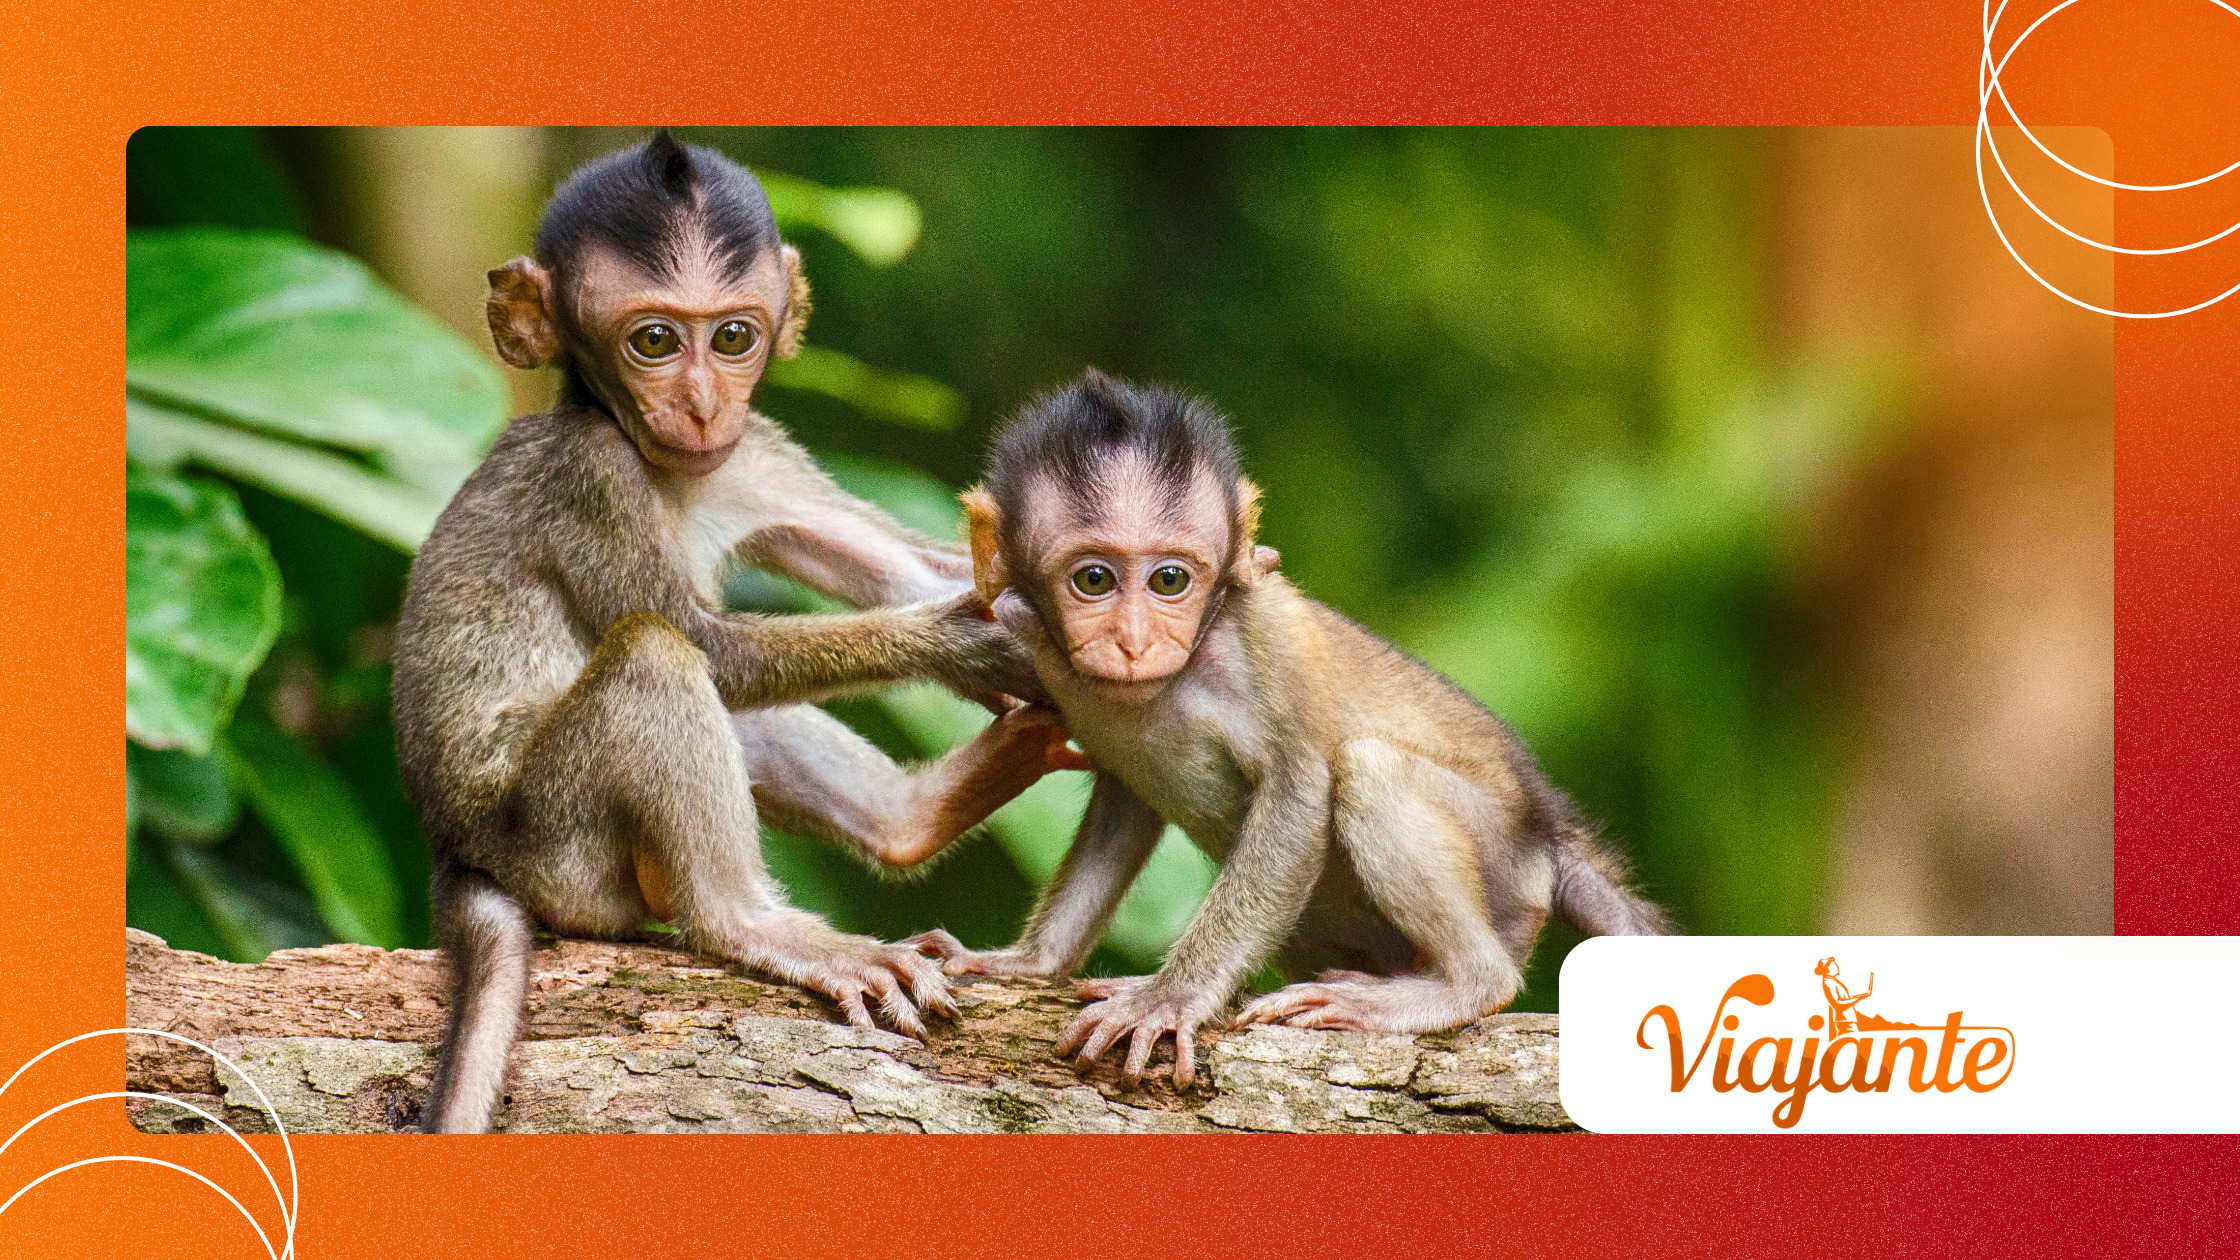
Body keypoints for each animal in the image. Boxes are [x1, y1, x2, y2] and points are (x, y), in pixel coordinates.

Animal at [393, 132, 1082, 1133]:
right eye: (652, 341)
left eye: (731, 337)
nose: (700, 403)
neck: (667, 468)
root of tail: (461, 855)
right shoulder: (590, 476)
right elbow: (702, 641)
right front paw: (965, 644)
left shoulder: (754, 452)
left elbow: (907, 570)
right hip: (559, 847)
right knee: (656, 655)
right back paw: (751, 922)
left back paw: (912, 821)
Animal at [908, 370, 1671, 1087]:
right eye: (1093, 580)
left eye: (1170, 581)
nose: (1134, 642)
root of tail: (1546, 829)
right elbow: (1124, 805)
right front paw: (1026, 962)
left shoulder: (1263, 644)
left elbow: (1298, 797)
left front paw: (1167, 999)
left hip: (1504, 866)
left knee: (1370, 771)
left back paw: (1456, 985)